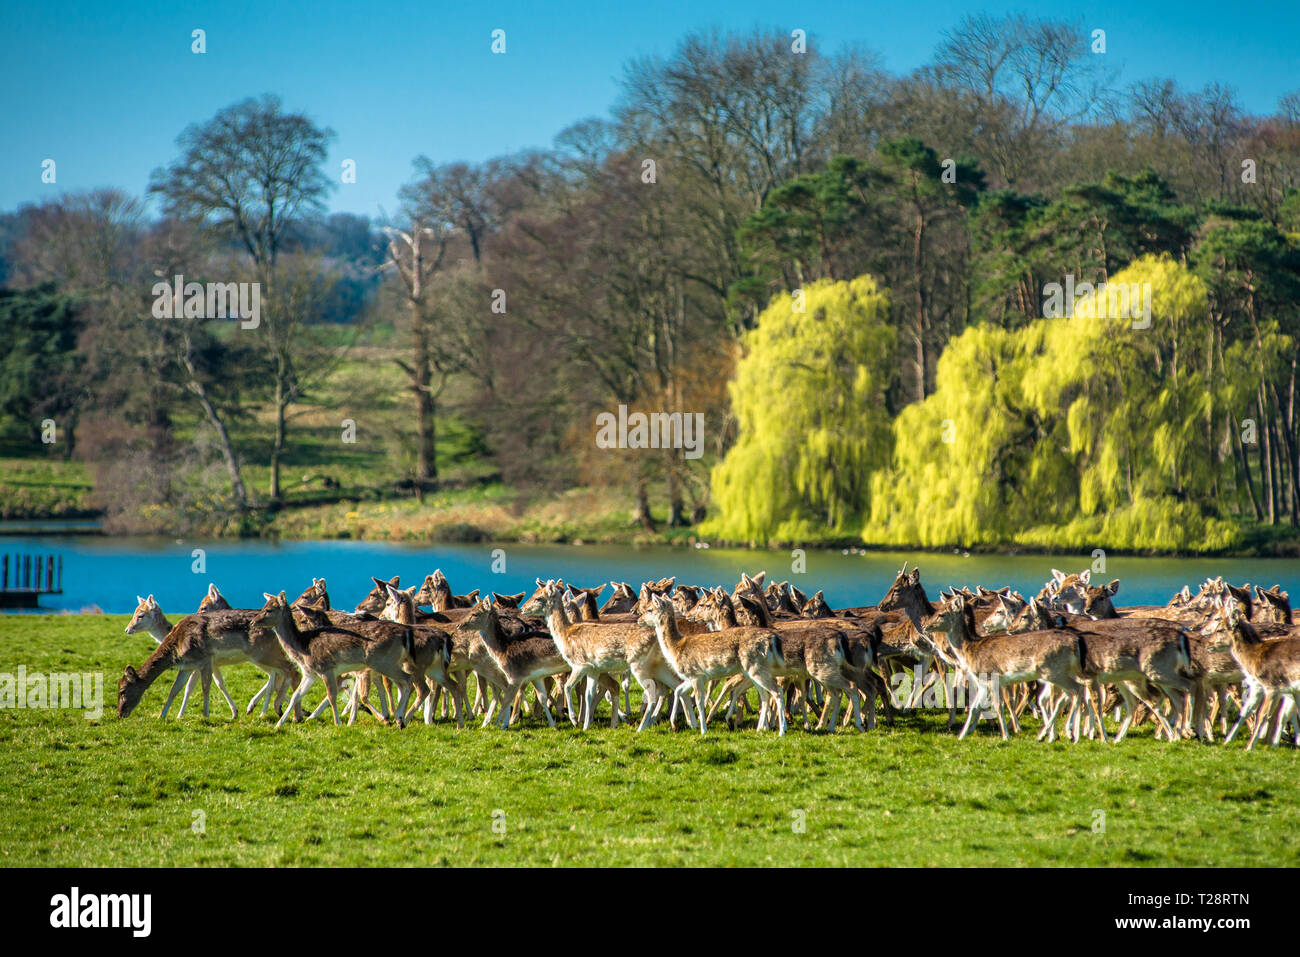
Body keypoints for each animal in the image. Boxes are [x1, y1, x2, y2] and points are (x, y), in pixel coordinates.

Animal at [639, 593, 786, 735]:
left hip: (756, 669)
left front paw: (703, 730)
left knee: (777, 691)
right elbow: (678, 691)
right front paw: (674, 725)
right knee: (765, 695)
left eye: (650, 609)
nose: (639, 619)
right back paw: (761, 729)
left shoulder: (695, 675)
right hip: (756, 671)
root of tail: (772, 639)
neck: (676, 649)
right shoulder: (693, 677)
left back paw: (781, 730)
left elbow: (699, 701)